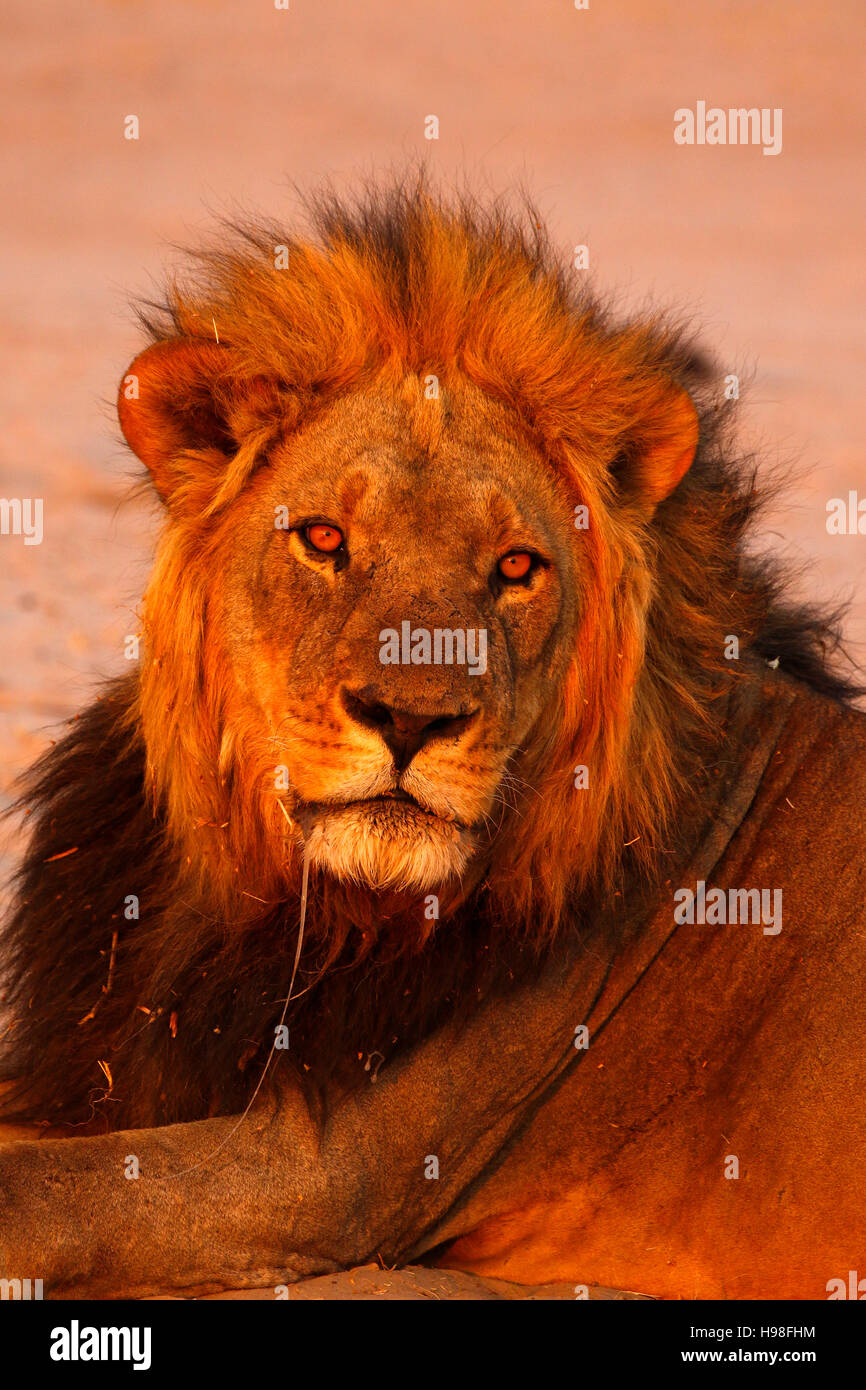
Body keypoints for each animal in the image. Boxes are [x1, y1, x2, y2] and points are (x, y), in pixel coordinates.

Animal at [1, 177, 865, 1300]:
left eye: (515, 566)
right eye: (324, 539)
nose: (411, 719)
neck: (246, 885)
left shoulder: (324, 1180)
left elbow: (42, 1194)